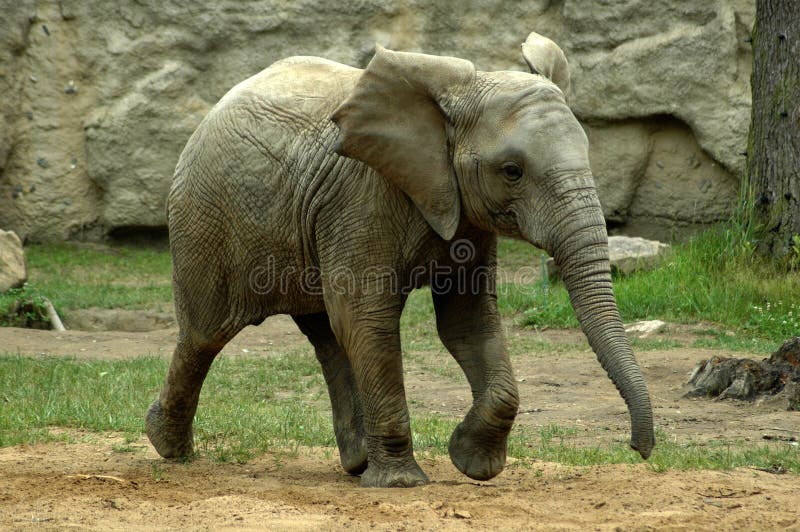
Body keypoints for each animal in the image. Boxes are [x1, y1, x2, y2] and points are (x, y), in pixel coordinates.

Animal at [145, 31, 655, 488]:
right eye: (512, 172)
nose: (638, 449)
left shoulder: (462, 214)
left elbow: (467, 321)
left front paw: (473, 466)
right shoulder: (360, 199)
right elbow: (370, 318)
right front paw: (402, 483)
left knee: (328, 333)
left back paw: (355, 464)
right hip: (205, 216)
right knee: (205, 333)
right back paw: (168, 447)